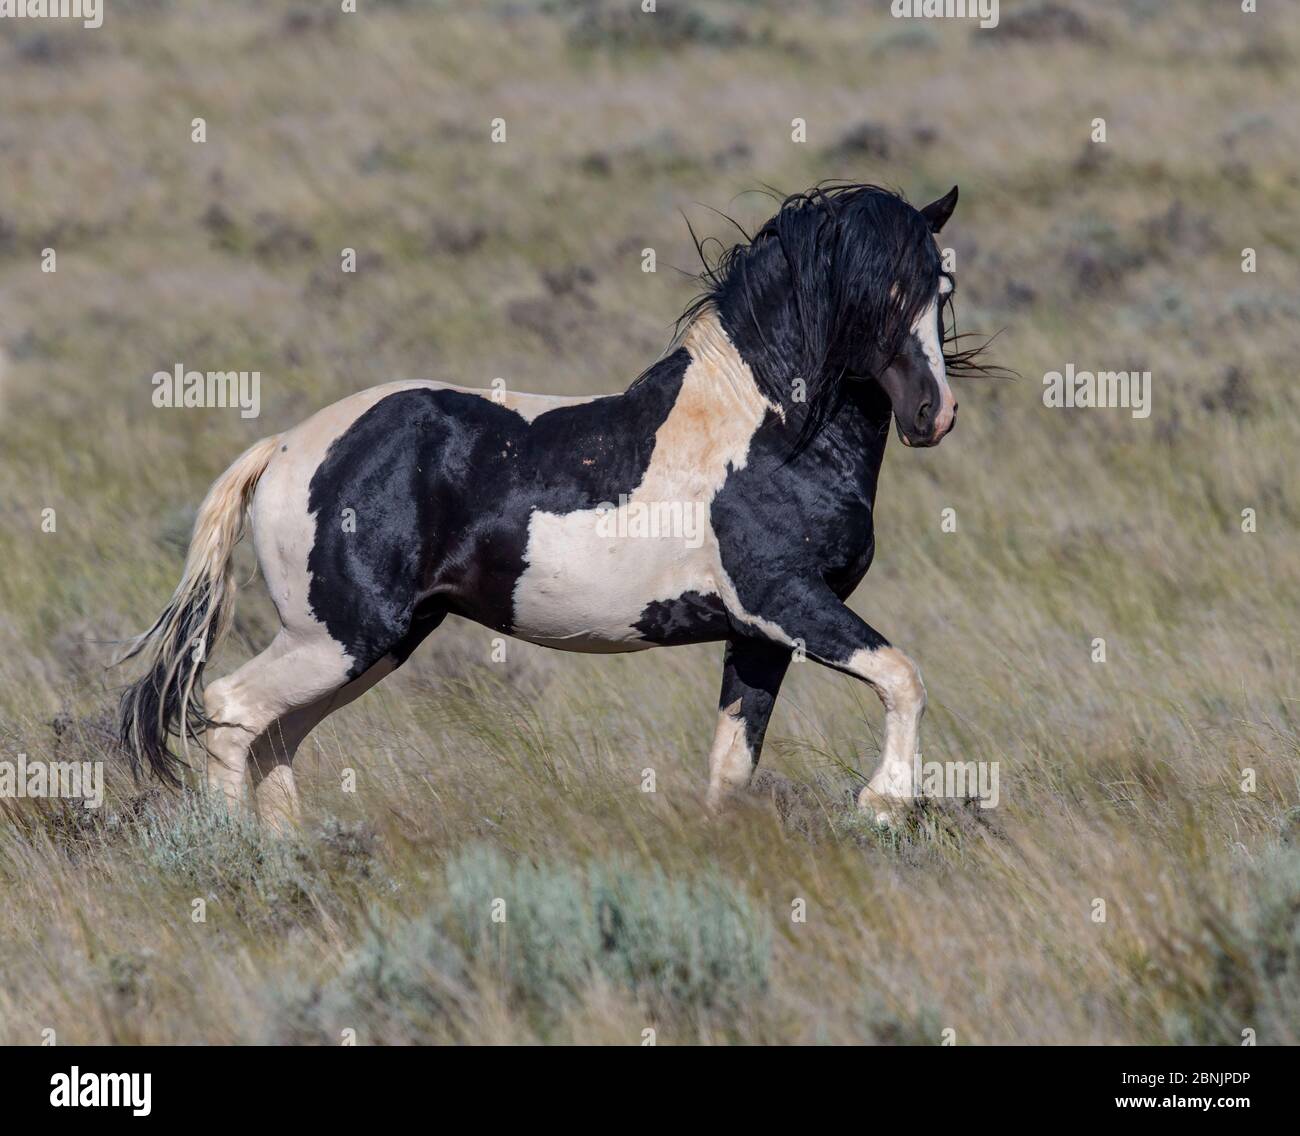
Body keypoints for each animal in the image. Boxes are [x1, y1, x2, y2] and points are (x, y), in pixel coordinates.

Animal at [118, 181, 988, 830]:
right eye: (876, 292)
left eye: (941, 287)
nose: (933, 415)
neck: (766, 429)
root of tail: (285, 448)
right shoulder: (786, 601)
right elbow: (903, 676)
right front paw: (881, 804)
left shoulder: (758, 637)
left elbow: (731, 767)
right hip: (337, 637)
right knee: (231, 712)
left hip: (373, 643)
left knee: (275, 740)